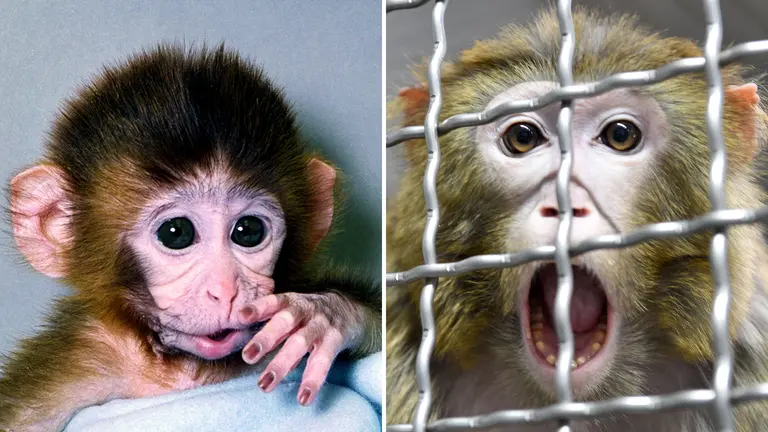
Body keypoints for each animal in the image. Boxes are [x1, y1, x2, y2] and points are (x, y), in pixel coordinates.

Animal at [0, 44, 381, 431]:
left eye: (248, 230)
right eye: (176, 233)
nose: (225, 290)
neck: (185, 367)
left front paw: (323, 314)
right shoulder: (76, 361)